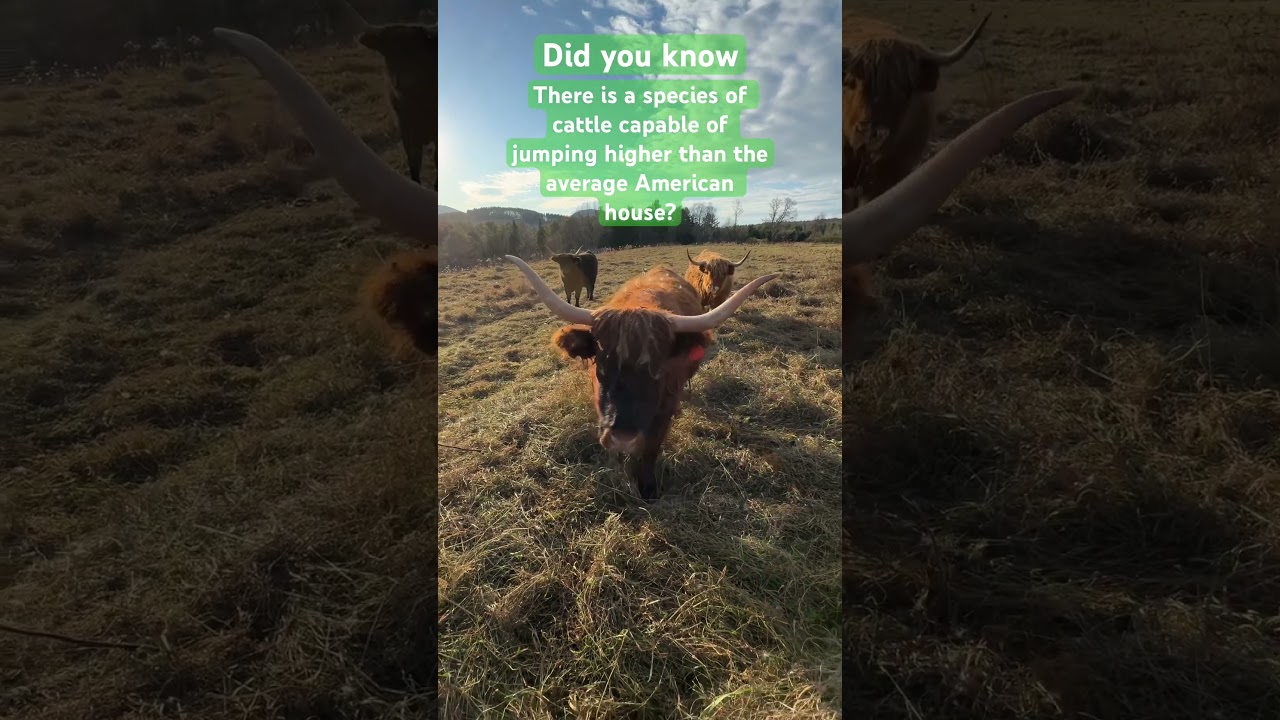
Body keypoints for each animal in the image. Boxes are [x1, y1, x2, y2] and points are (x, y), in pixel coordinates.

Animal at [506, 255, 778, 500]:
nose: (622, 440)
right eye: (601, 365)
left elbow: (650, 449)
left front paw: (647, 488)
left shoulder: (663, 413)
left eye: (658, 371)